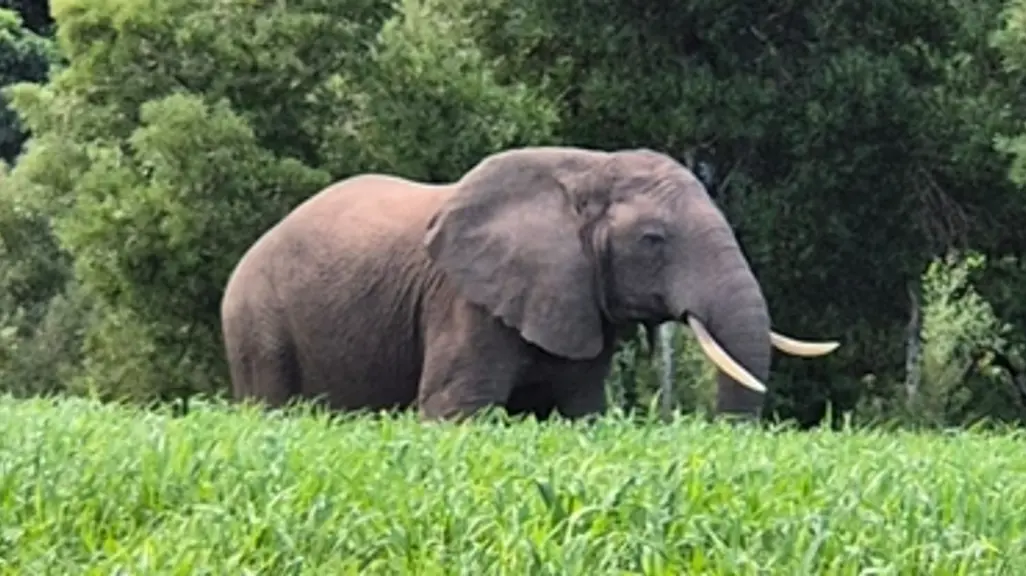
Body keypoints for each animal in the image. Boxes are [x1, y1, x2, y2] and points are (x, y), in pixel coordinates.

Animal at [219, 145, 838, 422]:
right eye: (653, 240)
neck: (586, 169)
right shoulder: (465, 301)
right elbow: (456, 410)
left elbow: (579, 410)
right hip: (256, 321)